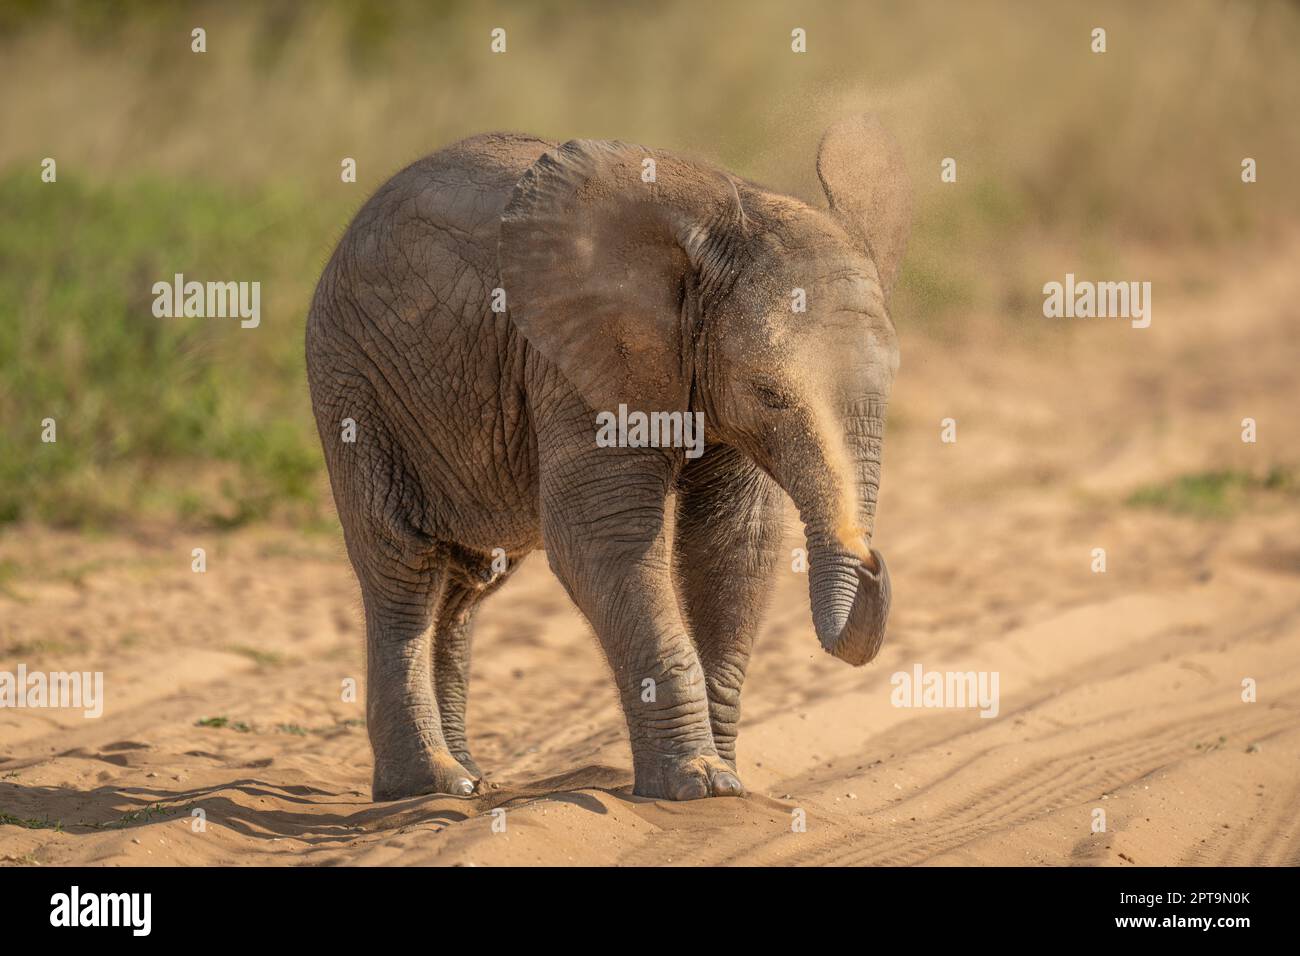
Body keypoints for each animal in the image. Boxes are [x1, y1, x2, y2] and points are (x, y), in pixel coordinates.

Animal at [305, 114, 910, 802]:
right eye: (768, 393)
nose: (873, 562)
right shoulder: (572, 359)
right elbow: (603, 539)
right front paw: (698, 785)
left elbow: (734, 545)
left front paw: (726, 781)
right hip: (352, 378)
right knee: (404, 565)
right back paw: (430, 784)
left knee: (467, 582)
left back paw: (469, 778)